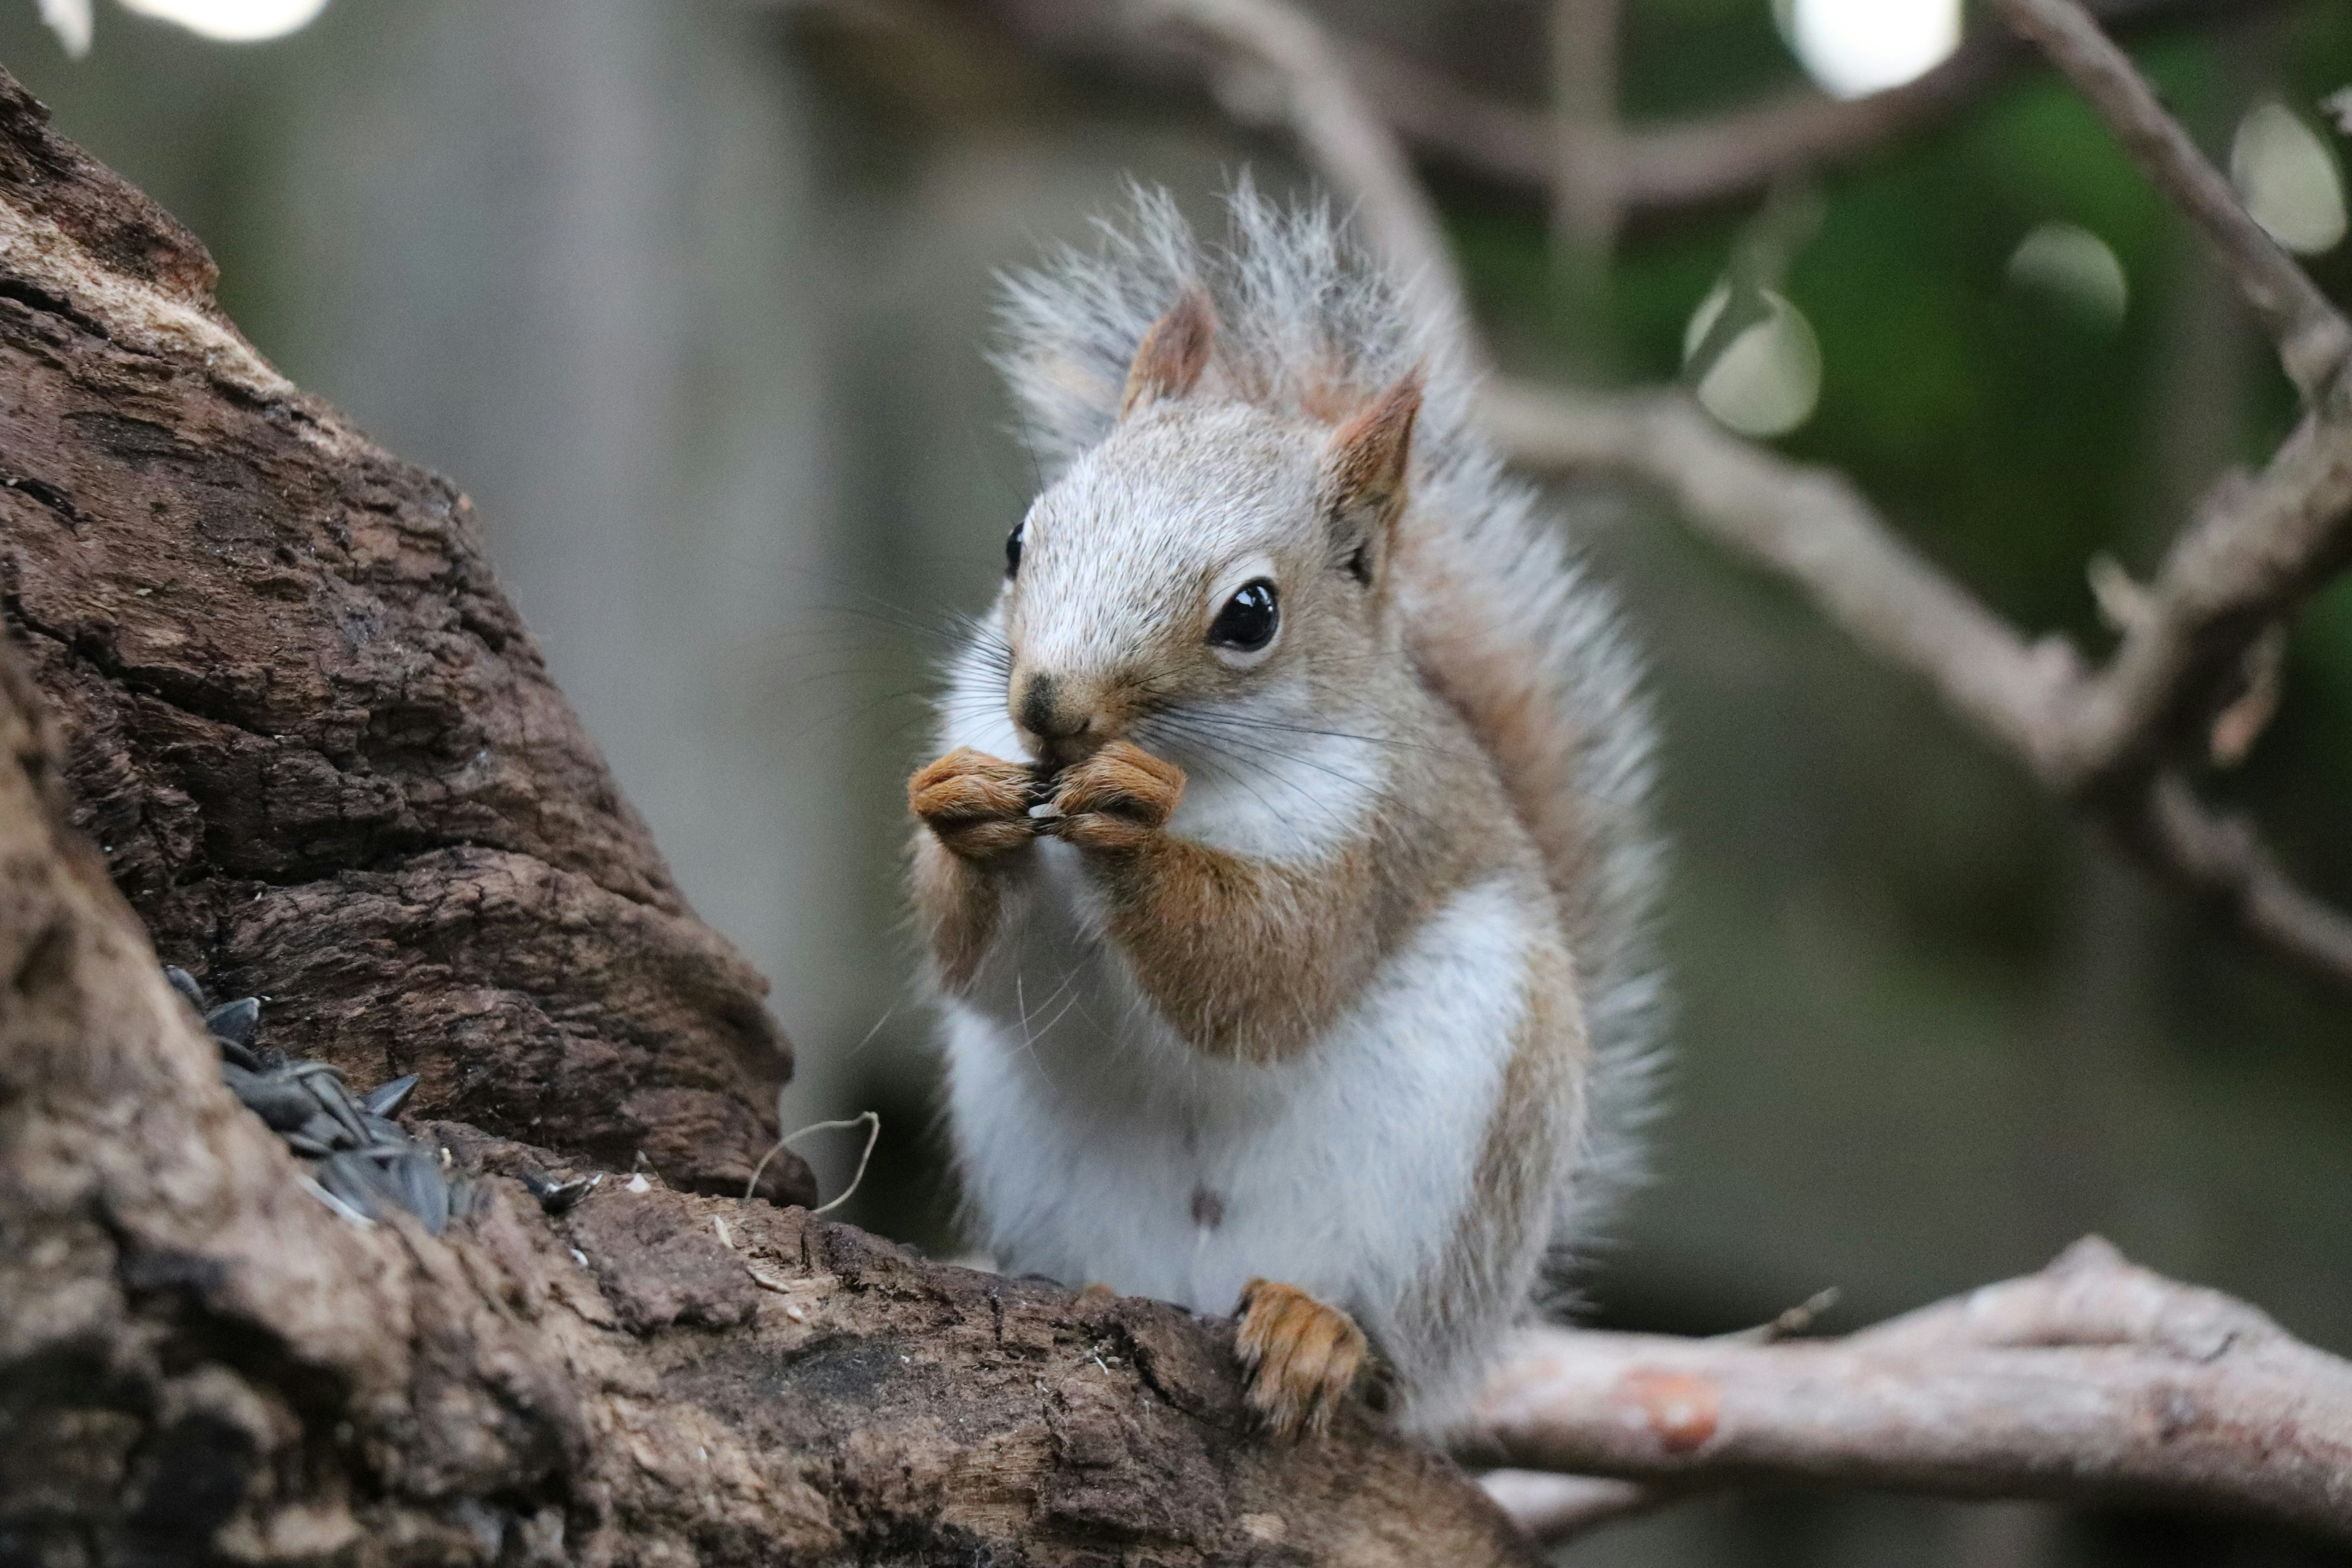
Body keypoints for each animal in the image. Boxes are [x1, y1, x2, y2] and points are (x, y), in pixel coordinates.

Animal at [907, 185, 1662, 1438]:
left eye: (1251, 613)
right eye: (1020, 537)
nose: (1049, 710)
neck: (1204, 777)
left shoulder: (1372, 838)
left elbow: (1267, 975)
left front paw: (1133, 825)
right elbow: (984, 967)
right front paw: (962, 806)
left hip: (1454, 1181)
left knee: (1388, 1347)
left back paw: (1322, 1333)